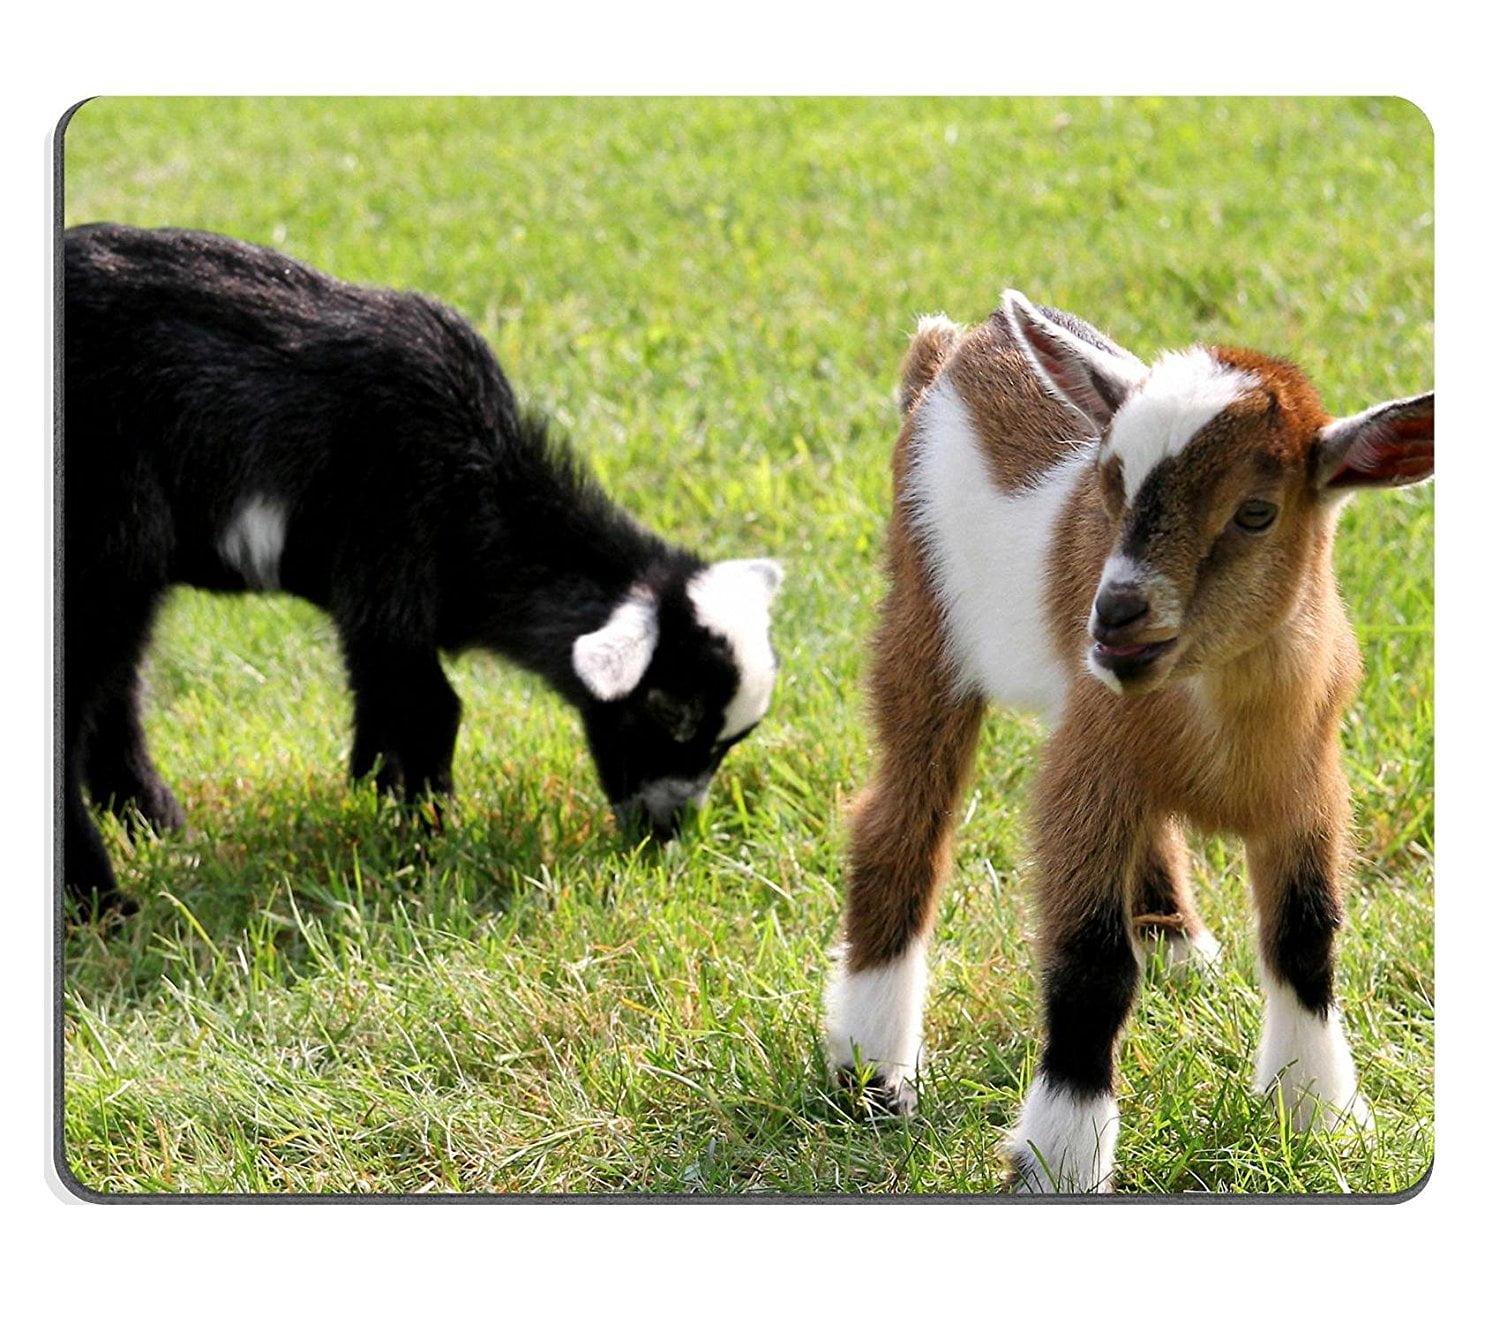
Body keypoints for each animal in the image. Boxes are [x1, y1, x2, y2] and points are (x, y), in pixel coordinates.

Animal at [63, 223, 783, 913]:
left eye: (731, 741)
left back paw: (157, 831)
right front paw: (422, 849)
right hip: (105, 539)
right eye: (668, 712)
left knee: (116, 692)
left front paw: (377, 817)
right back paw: (102, 903)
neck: (482, 489)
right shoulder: (389, 550)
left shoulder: (375, 602)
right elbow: (429, 707)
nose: (669, 831)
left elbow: (383, 706)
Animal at [824, 290, 1433, 1192]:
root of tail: (948, 350)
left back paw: (1179, 946)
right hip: (922, 617)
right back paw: (874, 1074)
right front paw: (1061, 1161)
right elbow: (1092, 966)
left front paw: (1319, 1119)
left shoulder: (1309, 790)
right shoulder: (1086, 775)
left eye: (1256, 512)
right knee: (903, 819)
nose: (1114, 615)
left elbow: (1306, 939)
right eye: (1109, 487)